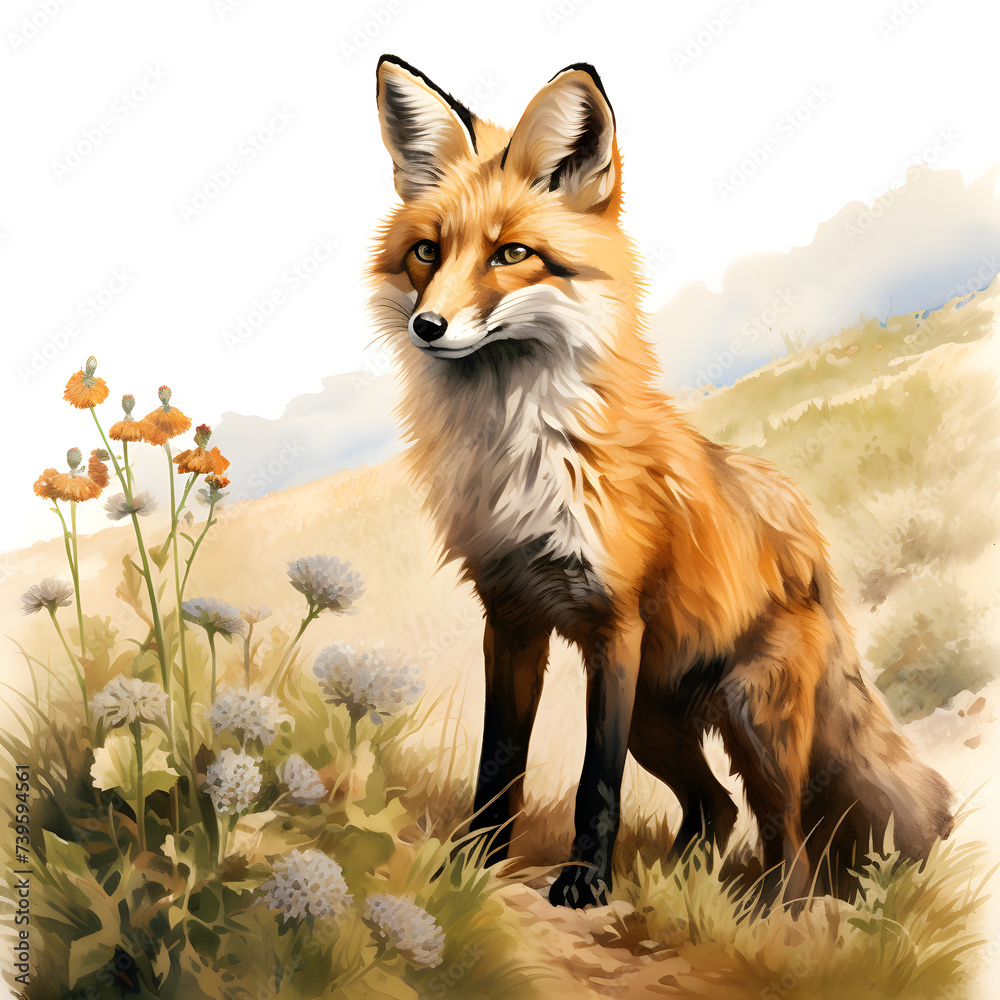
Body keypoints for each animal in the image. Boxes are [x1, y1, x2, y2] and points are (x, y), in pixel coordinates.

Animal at [368, 54, 954, 908]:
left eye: (511, 254)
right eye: (425, 253)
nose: (427, 327)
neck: (525, 458)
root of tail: (806, 532)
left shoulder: (613, 625)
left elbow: (594, 786)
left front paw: (584, 880)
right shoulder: (509, 617)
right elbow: (499, 764)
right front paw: (470, 865)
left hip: (751, 718)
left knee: (785, 835)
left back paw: (772, 912)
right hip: (657, 720)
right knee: (714, 809)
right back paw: (682, 887)